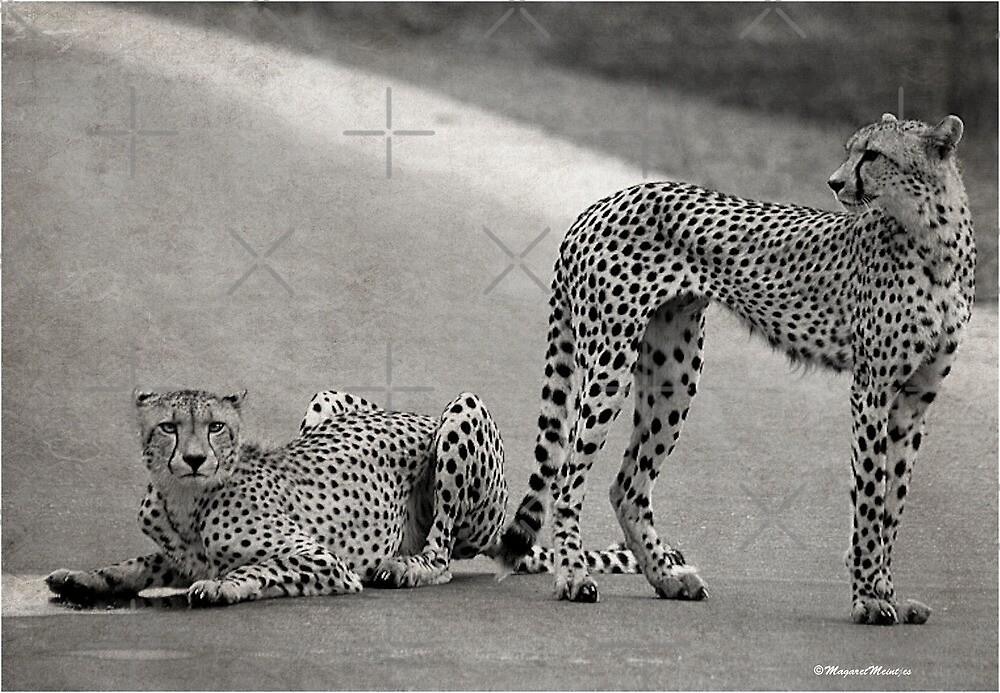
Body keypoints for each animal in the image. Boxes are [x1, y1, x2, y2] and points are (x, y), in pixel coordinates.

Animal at [46, 388, 636, 607]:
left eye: (215, 427)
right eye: (169, 427)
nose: (193, 458)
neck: (186, 500)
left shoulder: (324, 561)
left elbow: (255, 569)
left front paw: (222, 586)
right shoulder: (176, 554)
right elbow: (139, 563)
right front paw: (85, 578)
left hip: (462, 415)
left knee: (444, 556)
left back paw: (406, 567)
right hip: (327, 399)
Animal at [496, 114, 976, 625]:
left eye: (873, 154)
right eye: (852, 150)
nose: (835, 182)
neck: (934, 236)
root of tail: (600, 204)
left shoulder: (914, 403)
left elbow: (893, 504)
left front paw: (888, 592)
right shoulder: (871, 392)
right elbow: (869, 500)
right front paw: (868, 597)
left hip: (676, 374)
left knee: (627, 485)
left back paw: (667, 578)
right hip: (611, 363)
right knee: (567, 476)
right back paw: (572, 576)